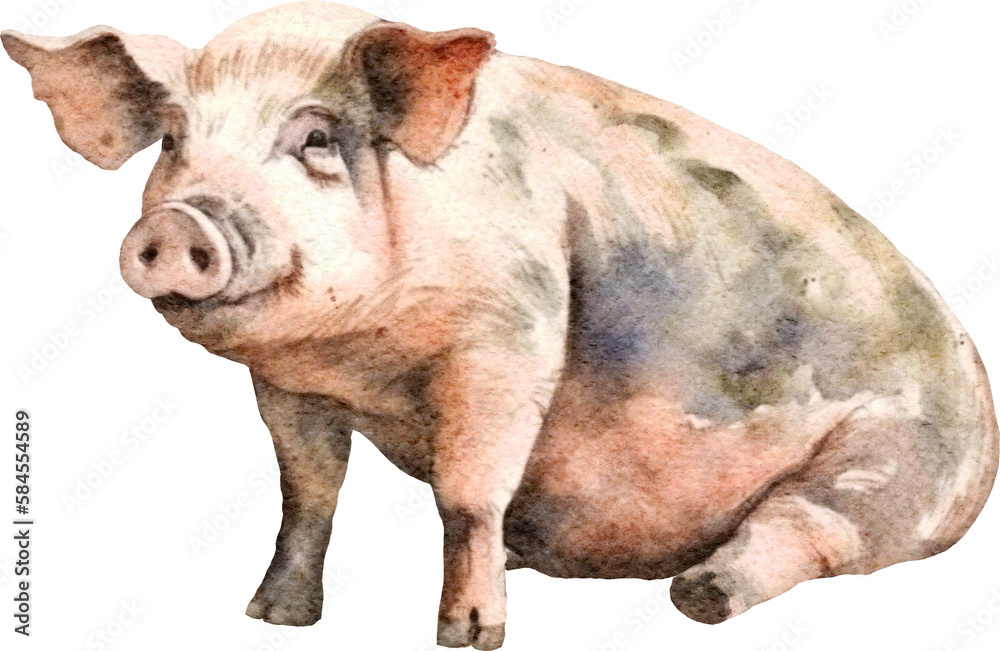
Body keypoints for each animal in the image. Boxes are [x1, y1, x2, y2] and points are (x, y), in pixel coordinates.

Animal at [3, 2, 998, 649]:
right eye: (173, 139)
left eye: (316, 139)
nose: (180, 225)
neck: (359, 356)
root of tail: (982, 404)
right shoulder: (288, 382)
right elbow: (308, 491)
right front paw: (271, 617)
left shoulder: (511, 332)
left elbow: (468, 492)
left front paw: (467, 635)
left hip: (894, 467)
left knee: (810, 526)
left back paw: (699, 595)